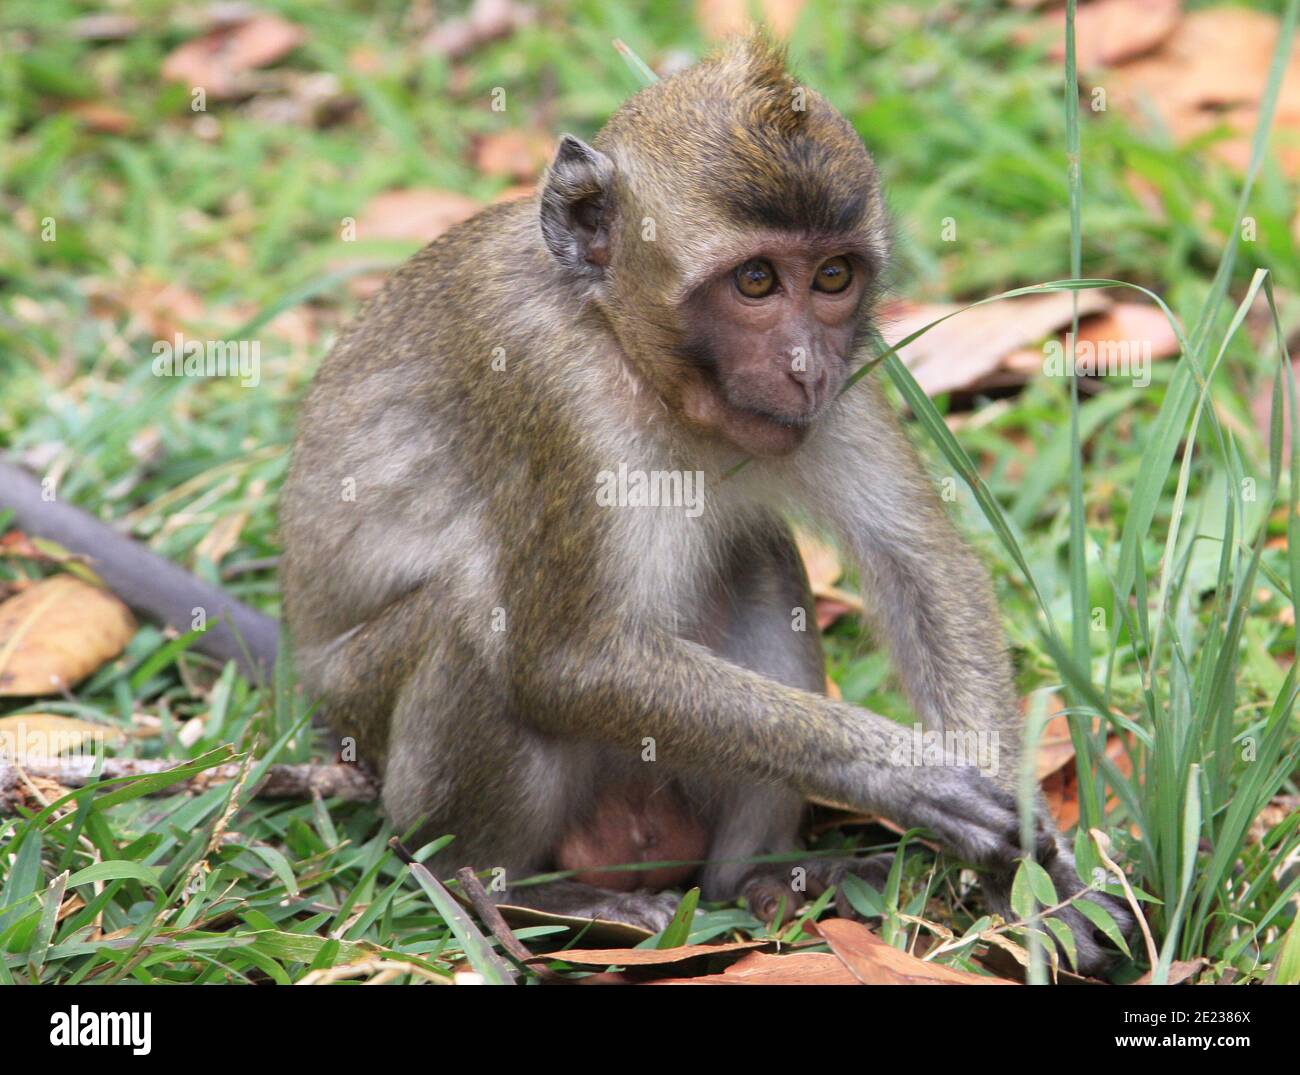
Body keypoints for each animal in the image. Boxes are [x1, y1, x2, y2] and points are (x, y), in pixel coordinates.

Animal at [268, 37, 1128, 973]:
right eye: (754, 281)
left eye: (832, 276)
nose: (804, 365)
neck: (623, 344)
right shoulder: (547, 385)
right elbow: (564, 660)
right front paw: (904, 774)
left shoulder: (848, 378)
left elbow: (921, 566)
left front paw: (1037, 876)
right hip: (374, 724)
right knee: (474, 621)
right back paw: (512, 893)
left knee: (760, 555)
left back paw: (755, 878)